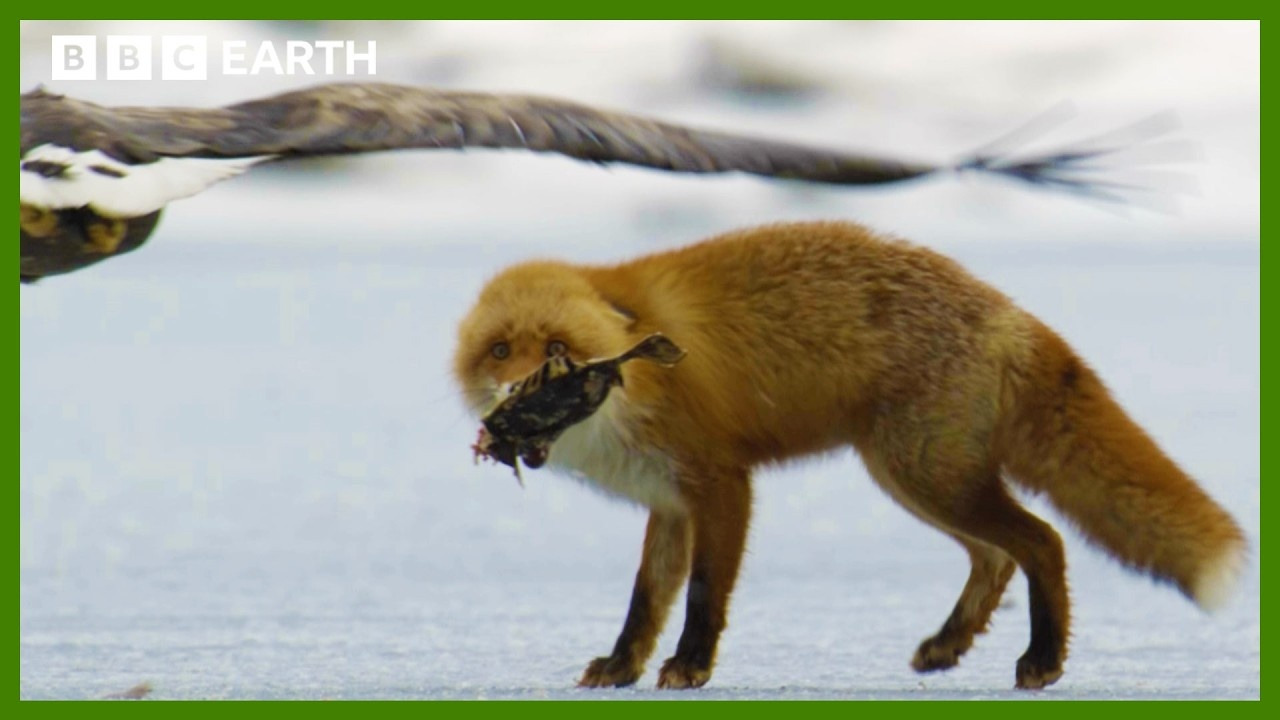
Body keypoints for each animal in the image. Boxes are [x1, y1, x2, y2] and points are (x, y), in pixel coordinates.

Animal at [452, 220, 1246, 691]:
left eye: (560, 349)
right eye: (501, 349)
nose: (518, 392)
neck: (635, 385)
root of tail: (1005, 308)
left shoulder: (720, 483)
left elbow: (704, 594)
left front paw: (690, 665)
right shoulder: (668, 501)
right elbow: (645, 599)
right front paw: (622, 667)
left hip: (924, 475)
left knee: (1042, 541)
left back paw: (1042, 660)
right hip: (915, 479)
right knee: (996, 558)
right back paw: (948, 647)